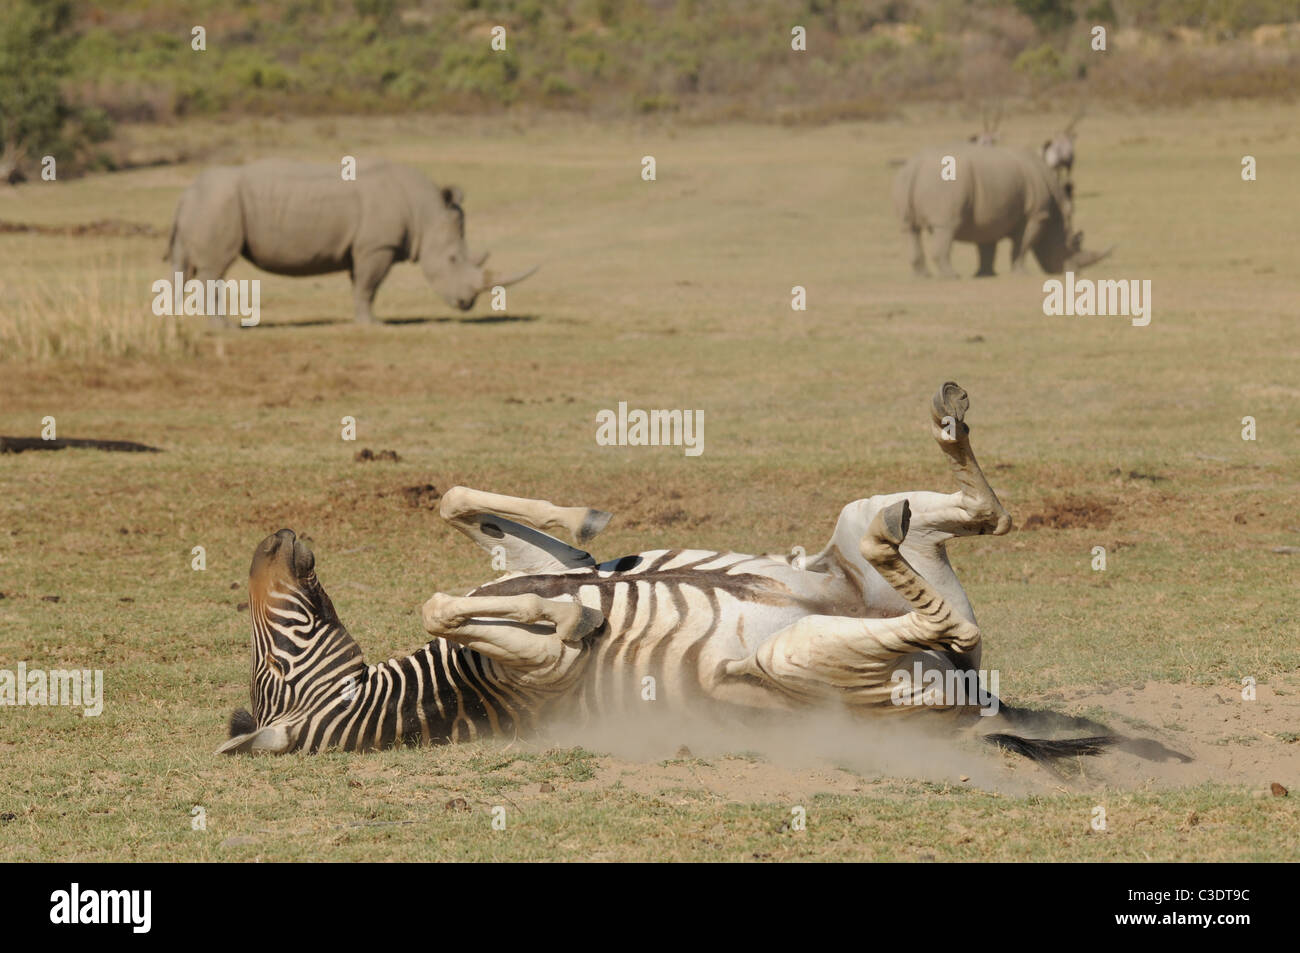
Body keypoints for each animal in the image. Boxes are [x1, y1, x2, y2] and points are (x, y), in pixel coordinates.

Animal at [166, 159, 537, 325]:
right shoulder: (376, 247)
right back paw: (228, 329)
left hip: (206, 204)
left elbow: (360, 285)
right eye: (453, 260)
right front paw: (374, 325)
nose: (467, 304)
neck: (425, 213)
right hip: (219, 203)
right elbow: (368, 287)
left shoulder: (364, 247)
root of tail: (185, 194)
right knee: (215, 268)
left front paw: (365, 321)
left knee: (185, 265)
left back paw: (174, 321)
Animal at [219, 382, 1135, 762]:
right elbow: (447, 603)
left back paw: (948, 425)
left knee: (985, 519)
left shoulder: (537, 565)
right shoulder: (547, 678)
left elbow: (459, 508)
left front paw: (587, 529)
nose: (269, 537)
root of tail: (983, 704)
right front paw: (575, 615)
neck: (459, 682)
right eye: (271, 655)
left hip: (849, 540)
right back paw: (896, 530)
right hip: (790, 657)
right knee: (949, 616)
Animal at [891, 144, 1111, 278]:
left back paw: (923, 276)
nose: (1074, 273)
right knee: (946, 228)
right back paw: (952, 276)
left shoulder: (989, 214)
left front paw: (986, 274)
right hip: (945, 185)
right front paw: (1022, 274)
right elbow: (1022, 245)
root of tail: (916, 166)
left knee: (910, 229)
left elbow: (988, 246)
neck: (1057, 216)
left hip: (906, 180)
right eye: (1072, 246)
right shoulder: (1037, 215)